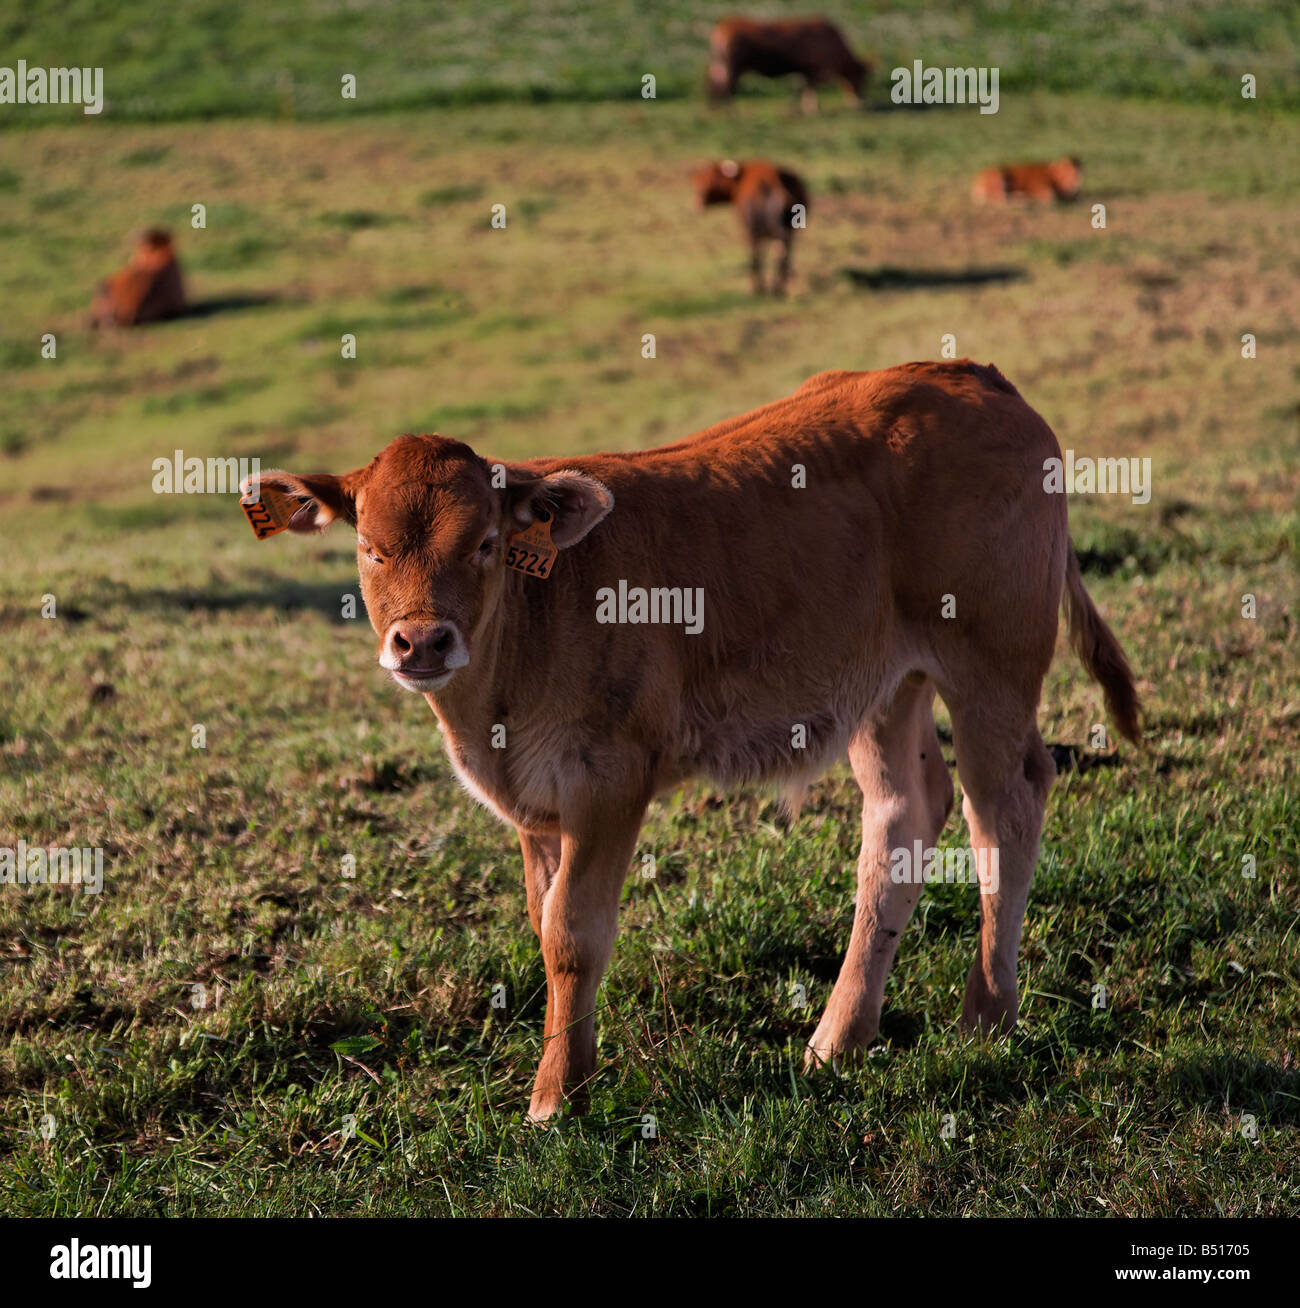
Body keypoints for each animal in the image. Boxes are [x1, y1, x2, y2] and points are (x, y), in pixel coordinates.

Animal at [239, 359, 1140, 1121]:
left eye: (485, 544)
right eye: (369, 547)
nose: (422, 641)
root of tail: (970, 373)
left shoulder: (609, 776)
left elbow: (573, 931)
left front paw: (556, 1097)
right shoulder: (535, 799)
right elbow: (544, 921)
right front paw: (572, 1068)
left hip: (993, 657)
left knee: (1005, 809)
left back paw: (985, 1014)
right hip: (883, 684)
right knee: (904, 816)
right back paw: (839, 1037)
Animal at [692, 159, 810, 295]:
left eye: (709, 177)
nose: (698, 194)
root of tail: (774, 181)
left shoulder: (749, 231)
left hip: (757, 232)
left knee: (759, 257)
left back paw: (761, 289)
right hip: (785, 233)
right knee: (783, 255)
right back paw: (778, 289)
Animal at [708, 16, 872, 112]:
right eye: (861, 77)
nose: (859, 98)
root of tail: (722, 28)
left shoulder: (807, 71)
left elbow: (805, 89)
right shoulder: (814, 70)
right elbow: (810, 90)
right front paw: (812, 108)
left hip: (723, 65)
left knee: (717, 83)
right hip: (733, 67)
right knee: (725, 86)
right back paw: (729, 110)